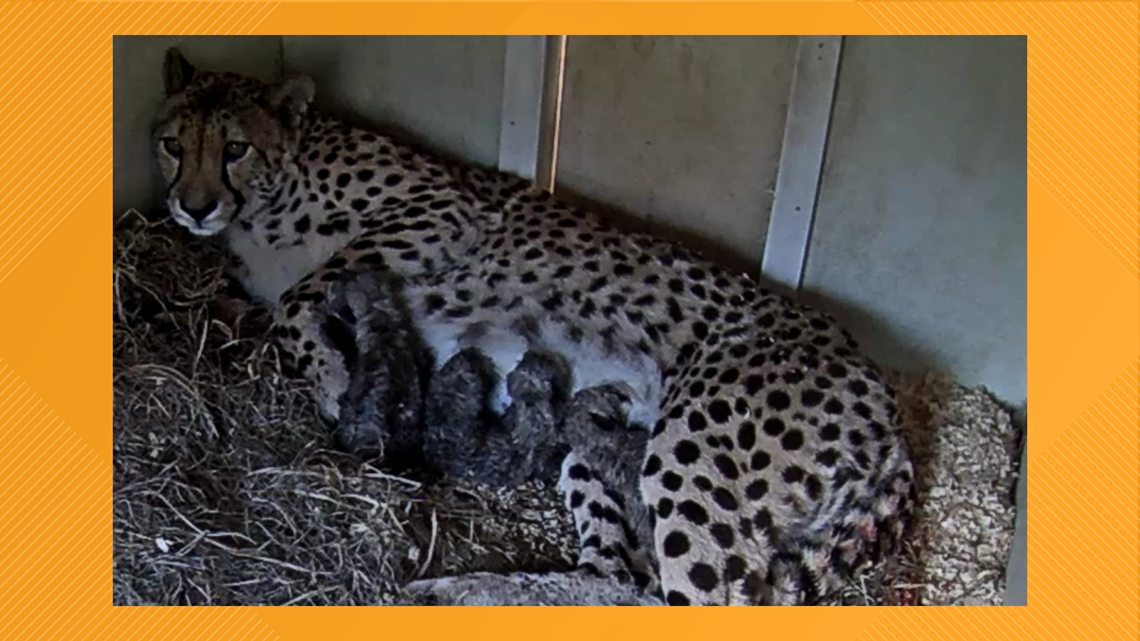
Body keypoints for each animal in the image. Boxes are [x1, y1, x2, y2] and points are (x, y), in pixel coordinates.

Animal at [152, 47, 916, 605]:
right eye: (171, 144)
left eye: (235, 148)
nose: (192, 206)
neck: (263, 203)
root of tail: (890, 406)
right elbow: (257, 306)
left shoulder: (440, 210)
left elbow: (303, 293)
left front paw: (339, 383)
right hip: (590, 429)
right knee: (619, 578)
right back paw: (462, 591)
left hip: (693, 443)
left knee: (706, 597)